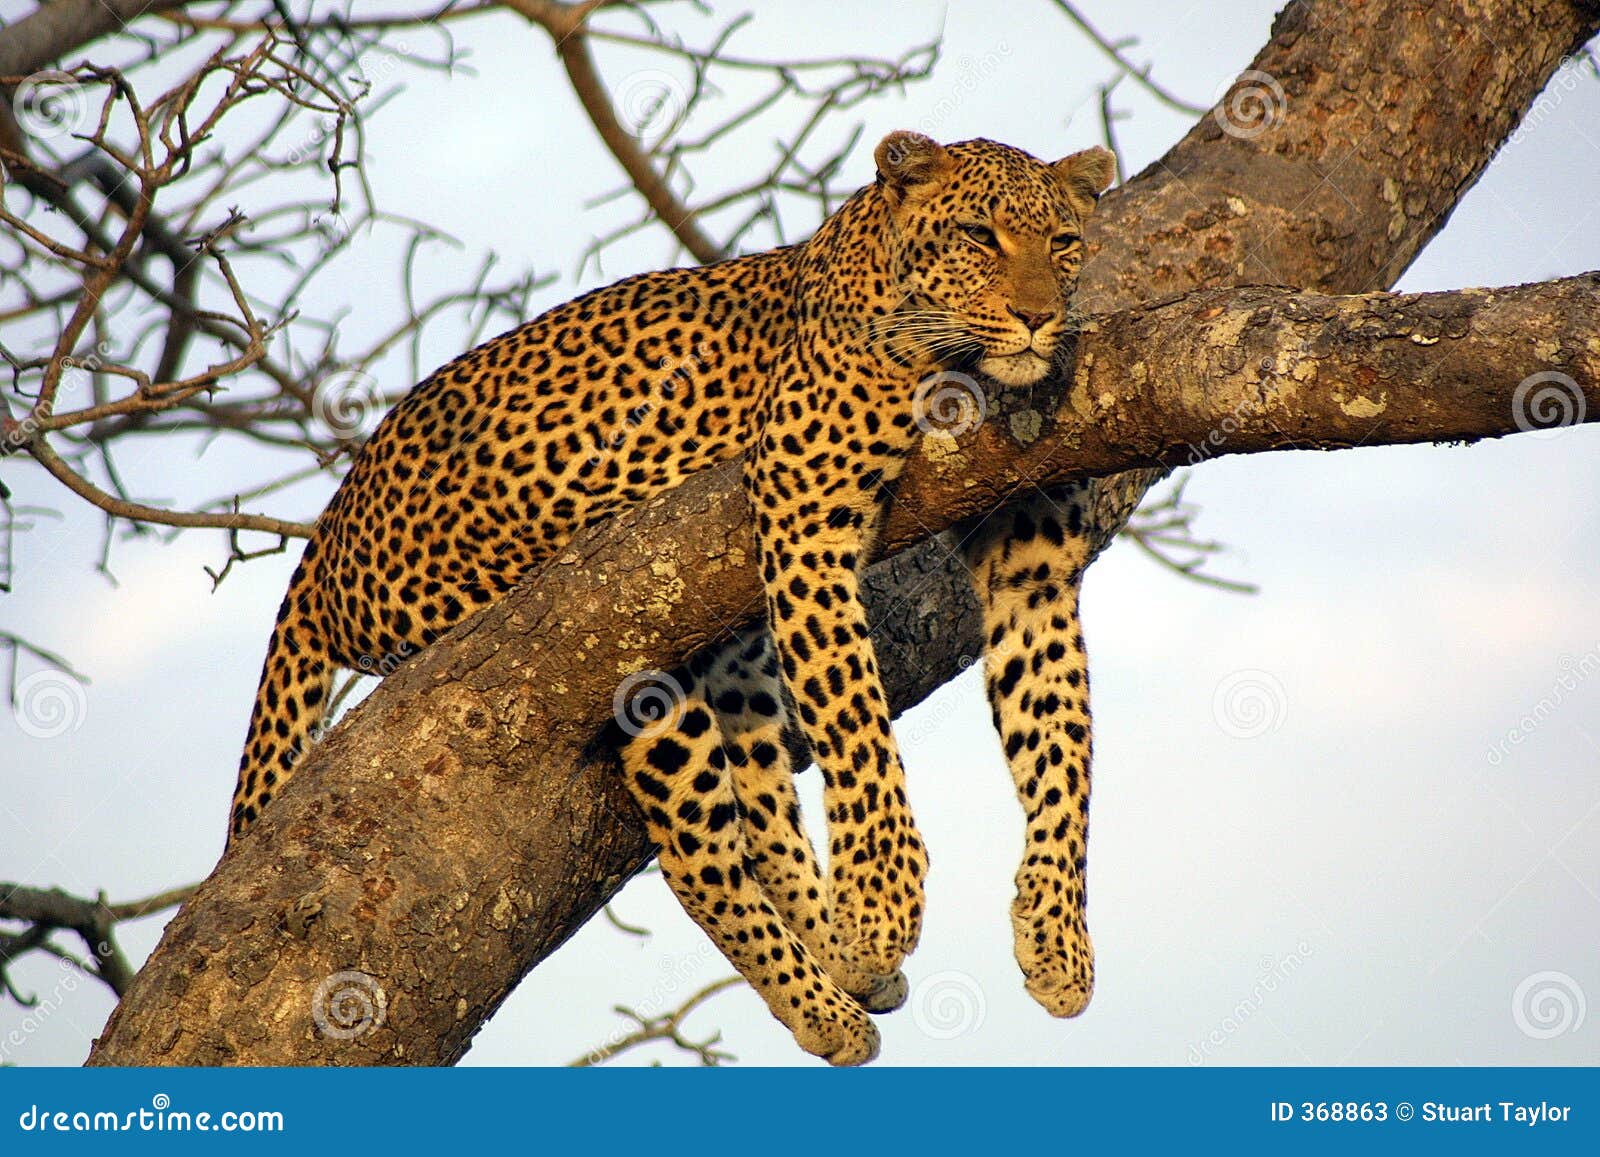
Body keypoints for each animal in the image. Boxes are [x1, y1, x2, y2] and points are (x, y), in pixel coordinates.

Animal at [229, 131, 1119, 1064]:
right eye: (980, 236)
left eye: (1063, 243)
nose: (1038, 318)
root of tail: (324, 536)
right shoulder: (805, 517)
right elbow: (855, 725)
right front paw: (881, 902)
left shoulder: (1032, 564)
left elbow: (1060, 744)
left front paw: (1057, 938)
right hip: (617, 645)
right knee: (699, 854)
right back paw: (827, 1000)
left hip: (728, 645)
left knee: (760, 798)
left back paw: (840, 960)